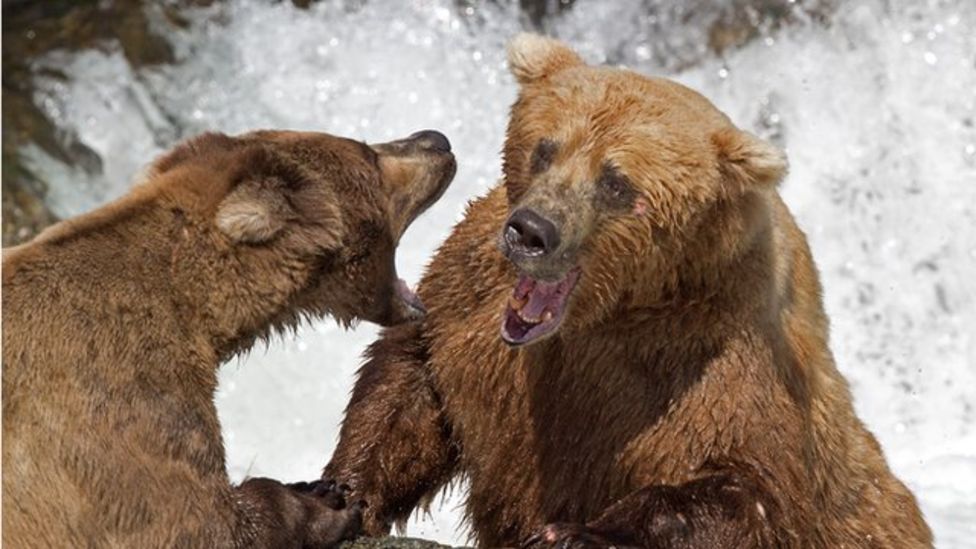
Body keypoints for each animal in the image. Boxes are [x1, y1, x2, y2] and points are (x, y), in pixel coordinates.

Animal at [1, 128, 455, 547]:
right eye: (368, 153)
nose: (437, 140)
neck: (194, 313)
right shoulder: (120, 409)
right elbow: (203, 523)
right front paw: (325, 499)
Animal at [321, 35, 933, 548]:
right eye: (545, 147)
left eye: (616, 182)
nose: (531, 231)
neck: (610, 309)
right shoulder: (471, 296)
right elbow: (413, 380)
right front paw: (340, 492)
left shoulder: (712, 361)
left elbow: (746, 486)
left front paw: (576, 532)